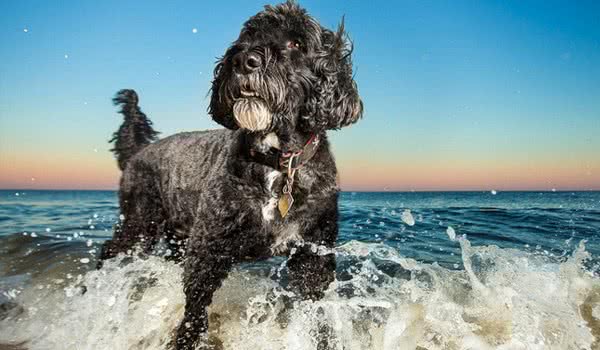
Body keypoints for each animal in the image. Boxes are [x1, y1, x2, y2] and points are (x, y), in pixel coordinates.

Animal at [98, 2, 360, 348]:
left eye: (297, 43)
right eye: (249, 35)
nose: (243, 60)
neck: (278, 163)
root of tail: (139, 151)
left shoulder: (313, 253)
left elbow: (314, 311)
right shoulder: (208, 248)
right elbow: (195, 307)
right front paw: (186, 338)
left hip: (174, 234)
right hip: (140, 222)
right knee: (109, 250)